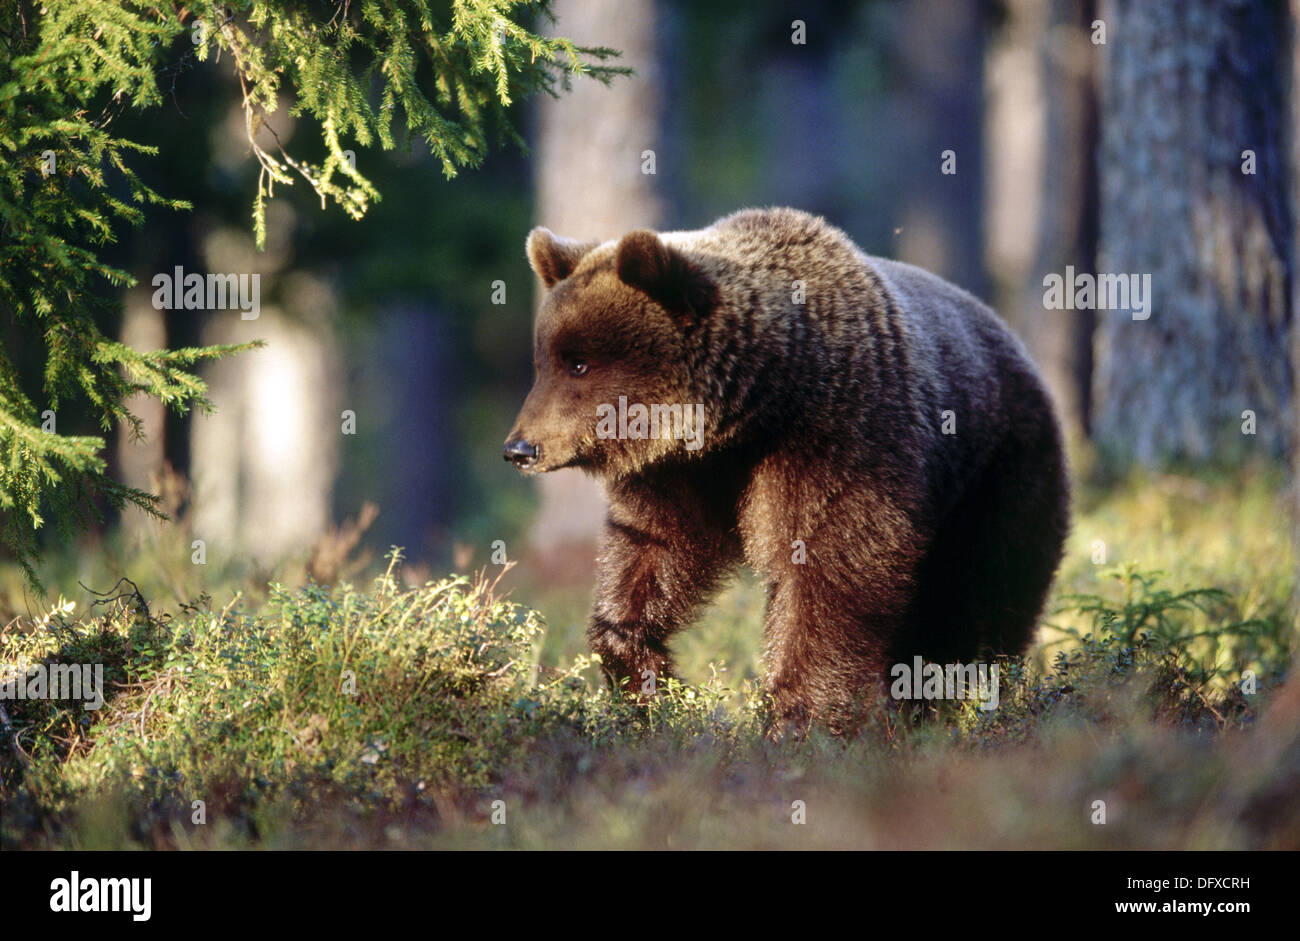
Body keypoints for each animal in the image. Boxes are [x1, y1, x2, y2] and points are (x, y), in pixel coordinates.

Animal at [504, 207, 1069, 732]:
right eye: (543, 361)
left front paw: (797, 716)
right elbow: (653, 552)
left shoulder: (840, 441)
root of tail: (1017, 346)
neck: (760, 402)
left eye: (578, 363)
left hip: (999, 475)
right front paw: (644, 673)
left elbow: (828, 572)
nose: (520, 448)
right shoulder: (682, 471)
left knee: (984, 597)